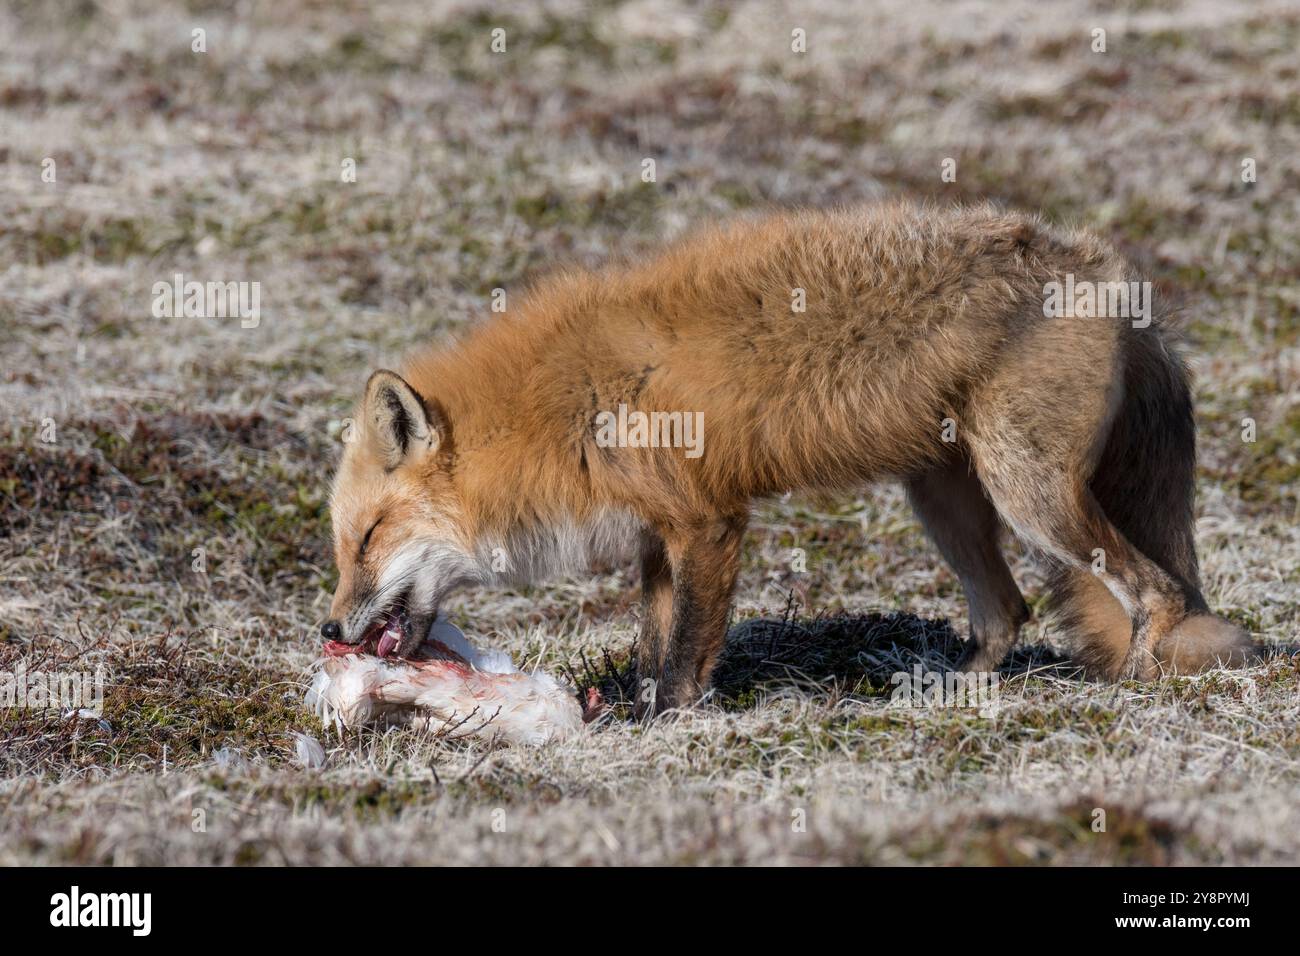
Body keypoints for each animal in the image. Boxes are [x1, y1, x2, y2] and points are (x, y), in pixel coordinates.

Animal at [323, 201, 1258, 717]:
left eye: (366, 538)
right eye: (342, 548)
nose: (329, 631)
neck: (561, 406)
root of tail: (1109, 269)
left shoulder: (710, 523)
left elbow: (684, 659)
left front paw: (663, 728)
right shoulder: (660, 535)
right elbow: (655, 642)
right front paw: (631, 712)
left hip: (1029, 496)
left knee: (1161, 594)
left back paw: (1130, 686)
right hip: (946, 500)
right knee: (1008, 613)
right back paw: (948, 690)